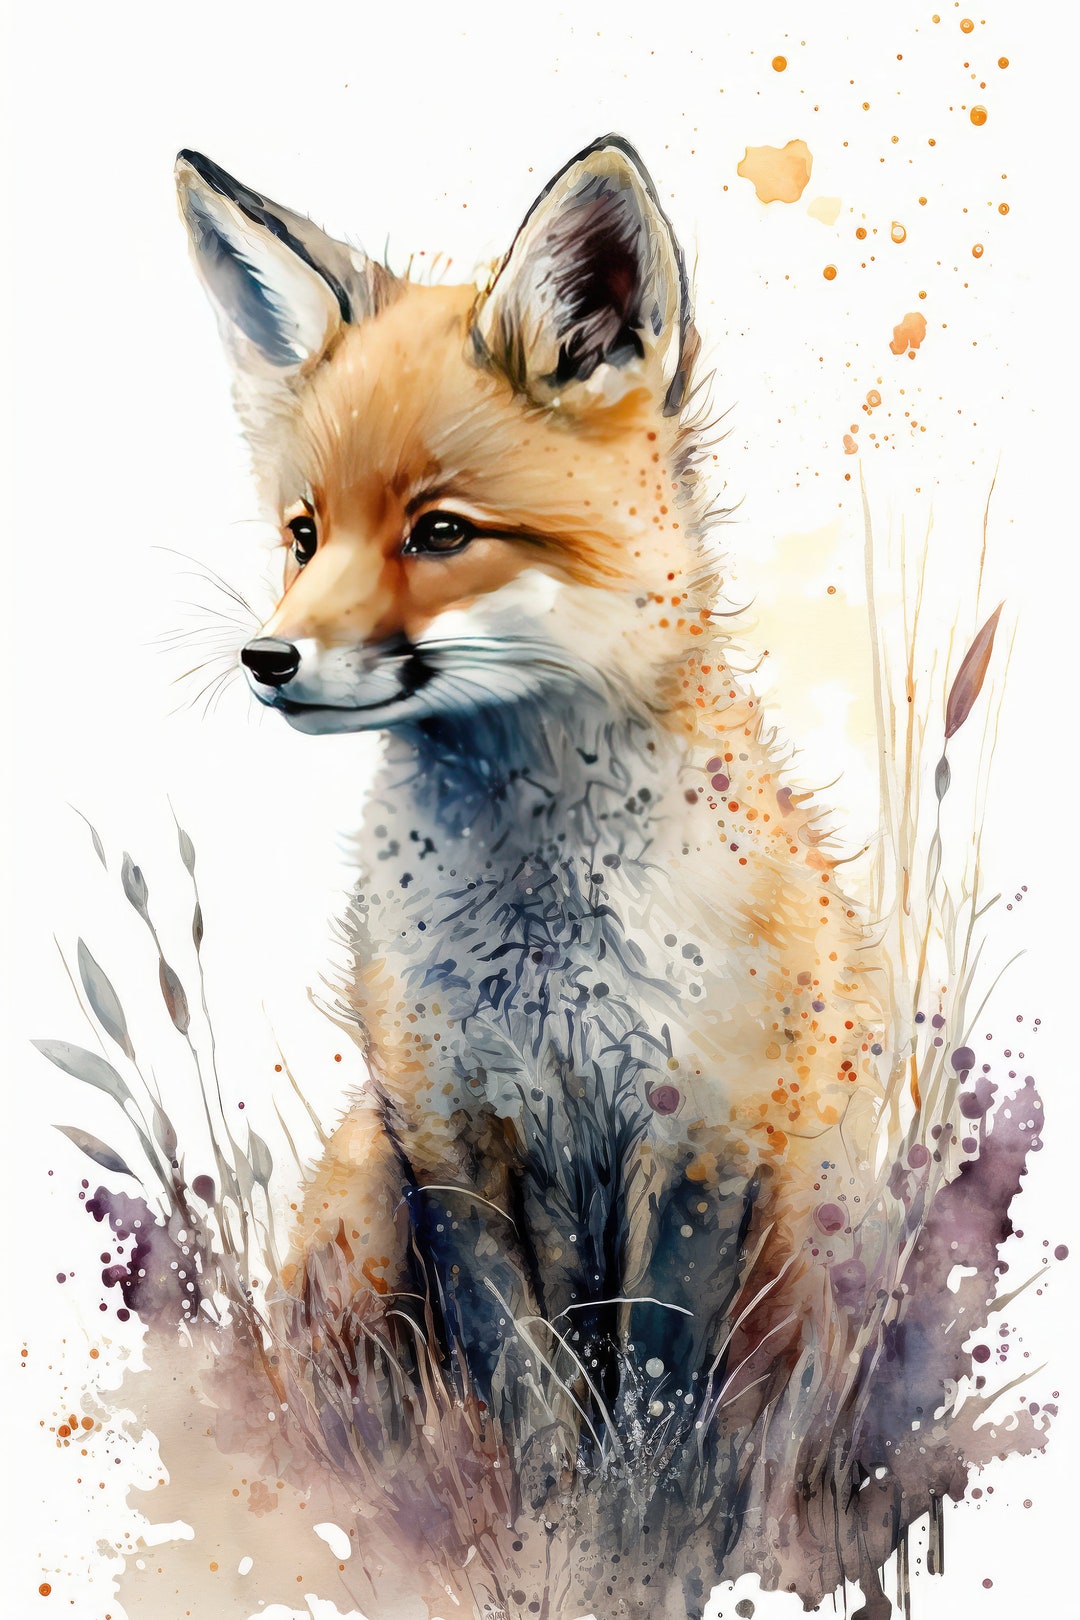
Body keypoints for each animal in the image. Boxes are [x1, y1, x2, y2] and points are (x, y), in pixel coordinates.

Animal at [176, 137, 889, 1611]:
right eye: (303, 533)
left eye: (442, 533)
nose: (268, 658)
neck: (541, 939)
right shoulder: (452, 1134)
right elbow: (532, 1385)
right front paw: (551, 1546)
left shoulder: (699, 1125)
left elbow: (657, 1395)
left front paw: (637, 1550)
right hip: (360, 1187)